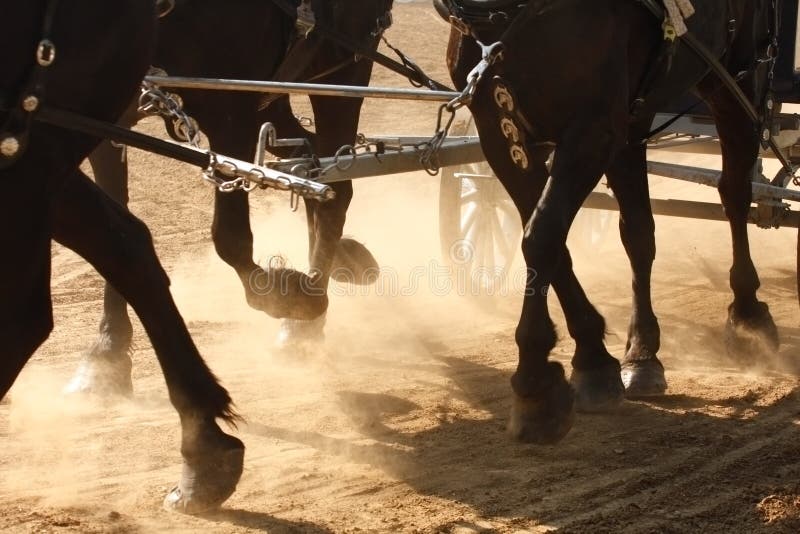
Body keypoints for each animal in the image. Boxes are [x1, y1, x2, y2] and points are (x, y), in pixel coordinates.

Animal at [67, 0, 395, 396]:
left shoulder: (230, 108)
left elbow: (231, 235)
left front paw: (287, 295)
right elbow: (111, 230)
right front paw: (108, 354)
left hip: (343, 70)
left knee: (335, 181)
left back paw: (307, 312)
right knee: (309, 160)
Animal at [437, 0, 782, 443]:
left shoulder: (592, 131)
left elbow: (541, 238)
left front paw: (535, 380)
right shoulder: (500, 132)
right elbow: (551, 242)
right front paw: (592, 358)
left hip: (736, 76)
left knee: (735, 192)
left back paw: (747, 313)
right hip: (638, 113)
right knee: (638, 231)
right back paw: (643, 354)